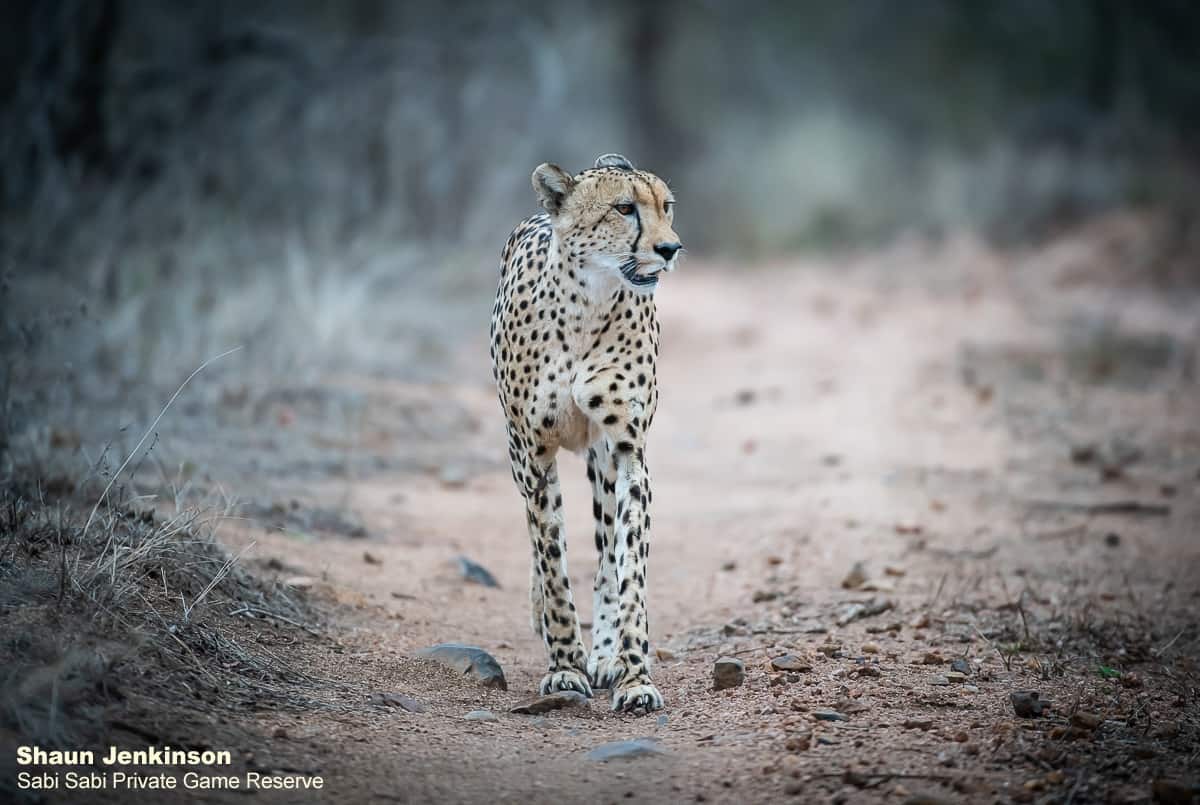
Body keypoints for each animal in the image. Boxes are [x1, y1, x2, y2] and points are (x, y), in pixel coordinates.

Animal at [489, 153, 681, 713]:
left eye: (667, 206)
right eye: (624, 209)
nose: (670, 248)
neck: (586, 305)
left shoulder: (629, 453)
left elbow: (628, 565)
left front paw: (633, 675)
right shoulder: (533, 451)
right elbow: (551, 560)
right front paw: (564, 668)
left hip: (602, 463)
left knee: (605, 551)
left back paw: (606, 654)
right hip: (519, 454)